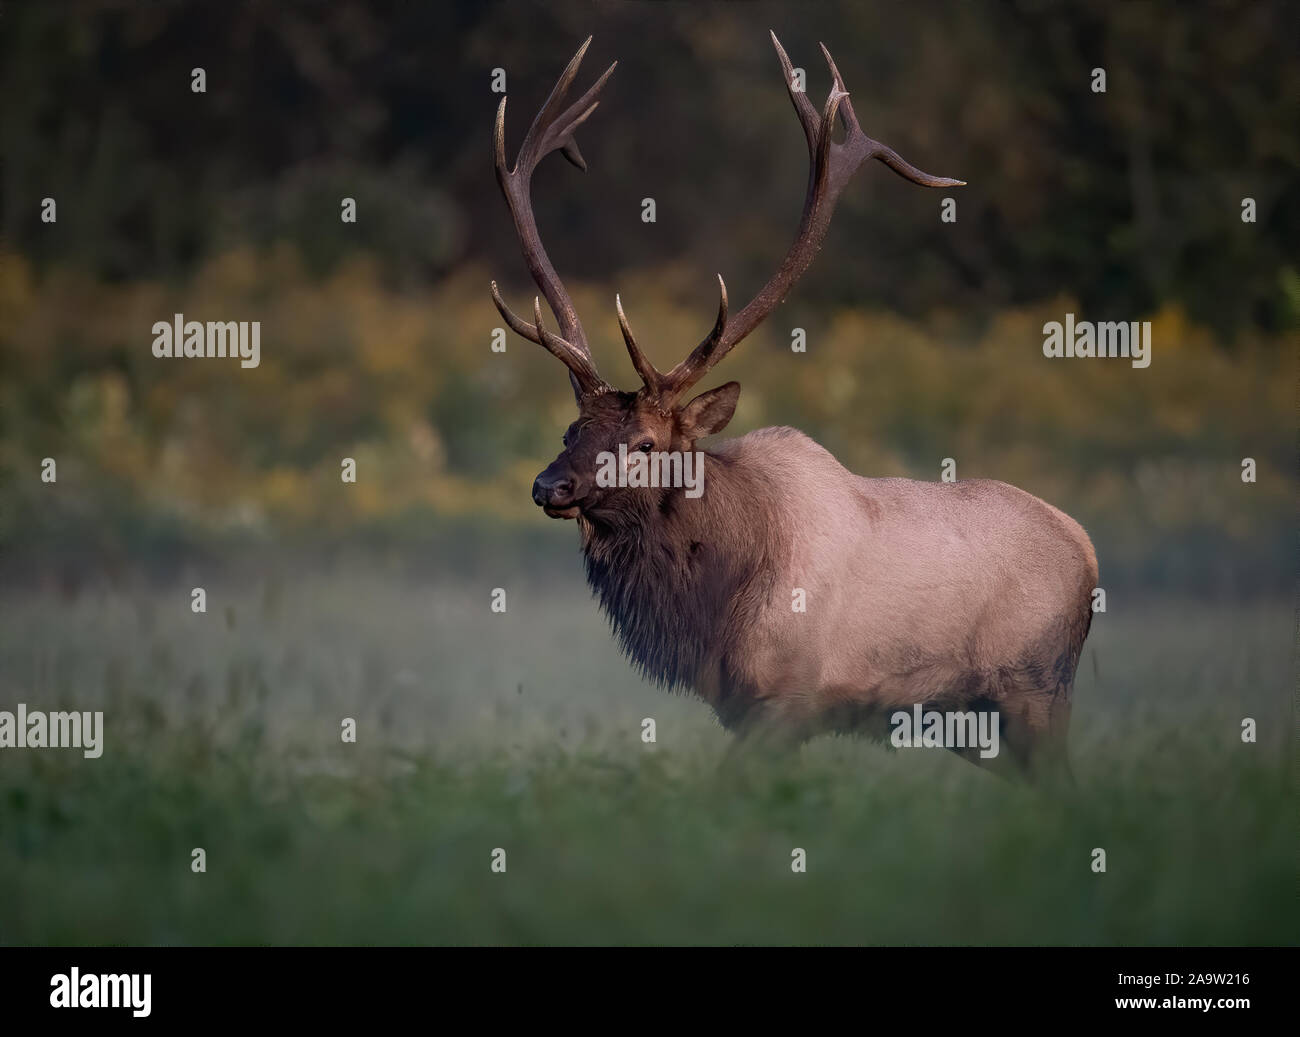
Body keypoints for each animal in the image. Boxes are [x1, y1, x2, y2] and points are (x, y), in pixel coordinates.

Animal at [489, 34, 1098, 778]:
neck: (714, 605)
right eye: (571, 428)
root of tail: (1088, 553)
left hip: (1036, 692)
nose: (550, 484)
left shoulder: (786, 701)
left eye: (646, 443)